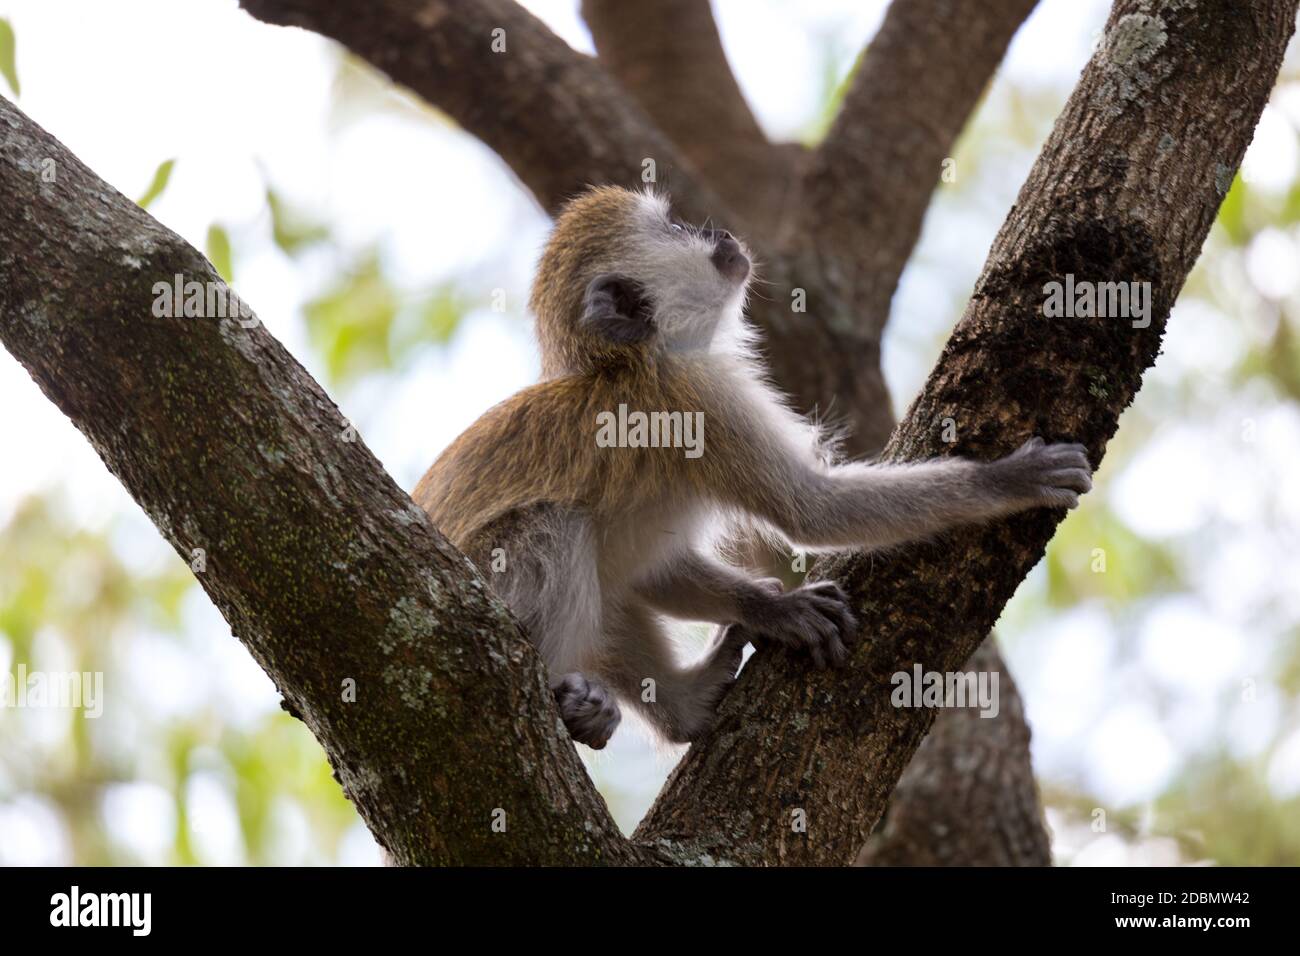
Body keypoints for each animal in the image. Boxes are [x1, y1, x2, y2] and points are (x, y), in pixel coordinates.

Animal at [413, 185, 1092, 749]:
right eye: (676, 226)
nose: (717, 231)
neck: (636, 358)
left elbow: (652, 569)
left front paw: (767, 608)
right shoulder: (703, 398)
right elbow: (813, 510)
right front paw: (1007, 480)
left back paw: (680, 706)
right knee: (556, 527)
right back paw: (560, 696)